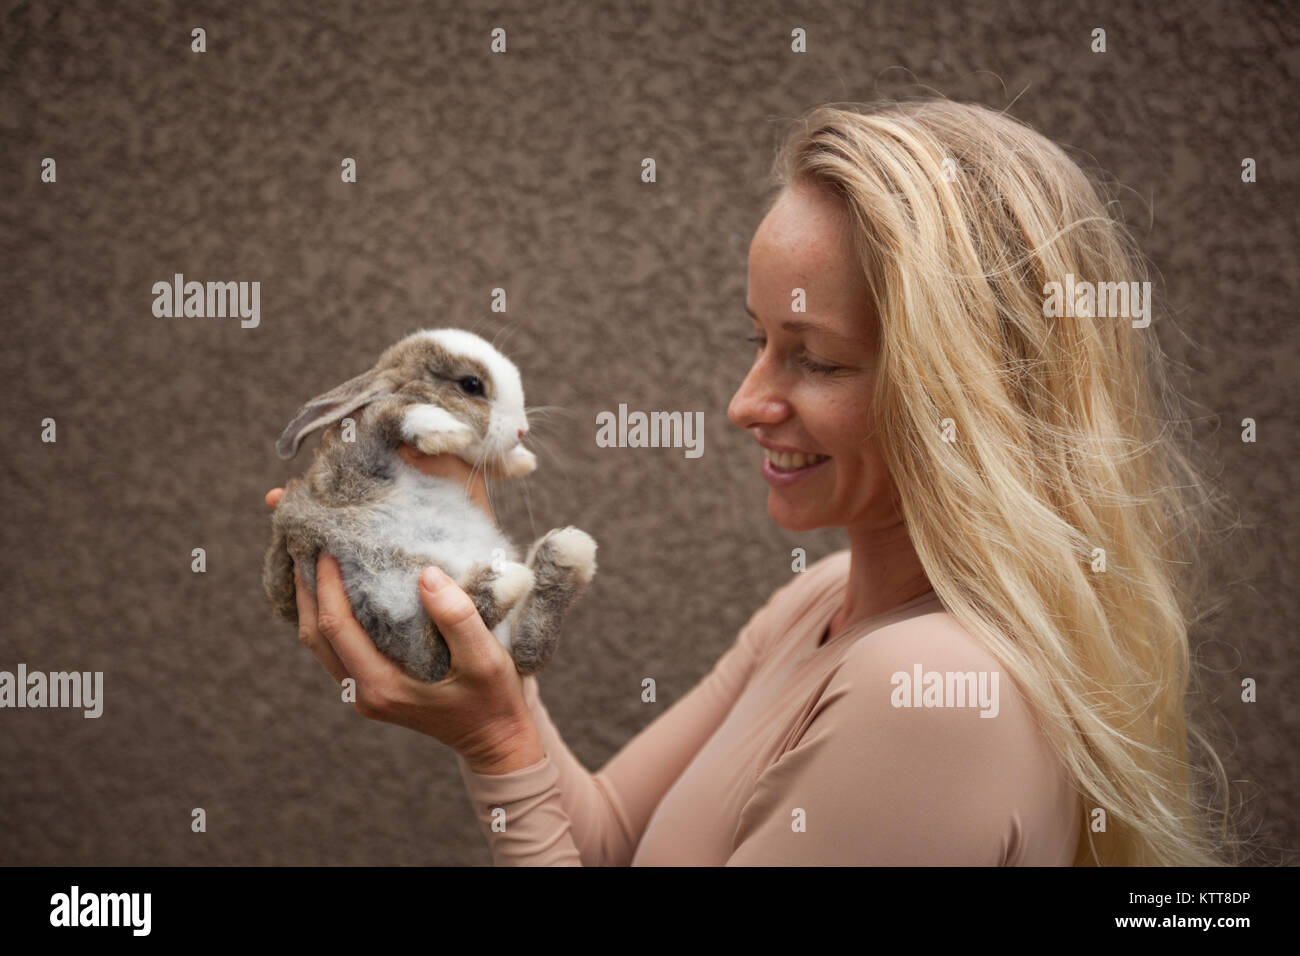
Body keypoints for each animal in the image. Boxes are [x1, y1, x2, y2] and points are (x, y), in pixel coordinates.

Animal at [262, 327, 597, 683]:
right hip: (386, 614)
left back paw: (564, 554)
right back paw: (512, 575)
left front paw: (520, 460)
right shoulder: (342, 473)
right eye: (471, 385)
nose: (522, 431)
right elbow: (391, 410)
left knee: (522, 652)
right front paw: (450, 431)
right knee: (437, 651)